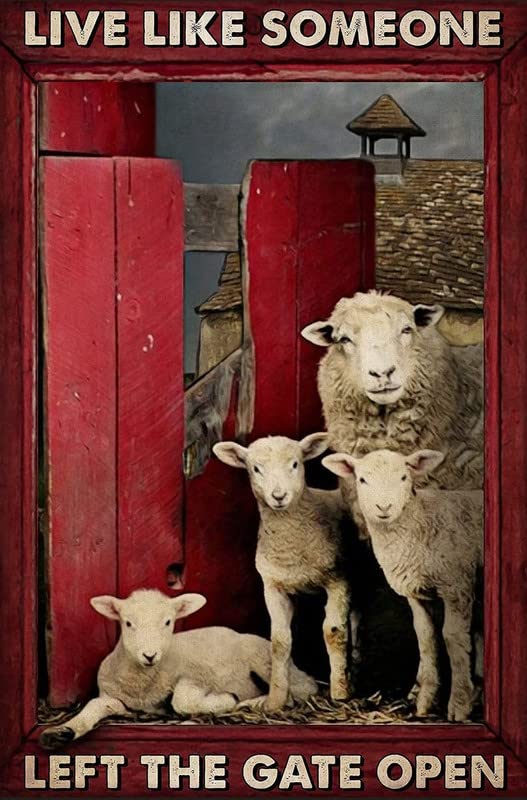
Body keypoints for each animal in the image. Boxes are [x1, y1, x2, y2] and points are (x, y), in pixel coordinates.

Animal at [39, 589, 317, 749]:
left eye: (168, 622)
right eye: (127, 623)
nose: (149, 654)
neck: (142, 682)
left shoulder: (198, 676)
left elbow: (182, 701)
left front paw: (227, 699)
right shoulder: (113, 698)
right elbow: (92, 708)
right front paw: (62, 731)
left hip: (265, 660)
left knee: (294, 694)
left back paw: (252, 703)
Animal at [213, 433, 357, 711]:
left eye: (295, 464)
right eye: (256, 468)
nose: (278, 496)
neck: (291, 543)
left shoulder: (339, 580)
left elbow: (334, 632)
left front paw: (339, 693)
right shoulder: (274, 586)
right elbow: (279, 641)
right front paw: (276, 700)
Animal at [323, 447, 482, 722]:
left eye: (404, 478)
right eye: (362, 479)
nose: (384, 507)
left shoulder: (457, 585)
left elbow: (452, 638)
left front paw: (460, 704)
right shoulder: (417, 593)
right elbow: (426, 638)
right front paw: (425, 702)